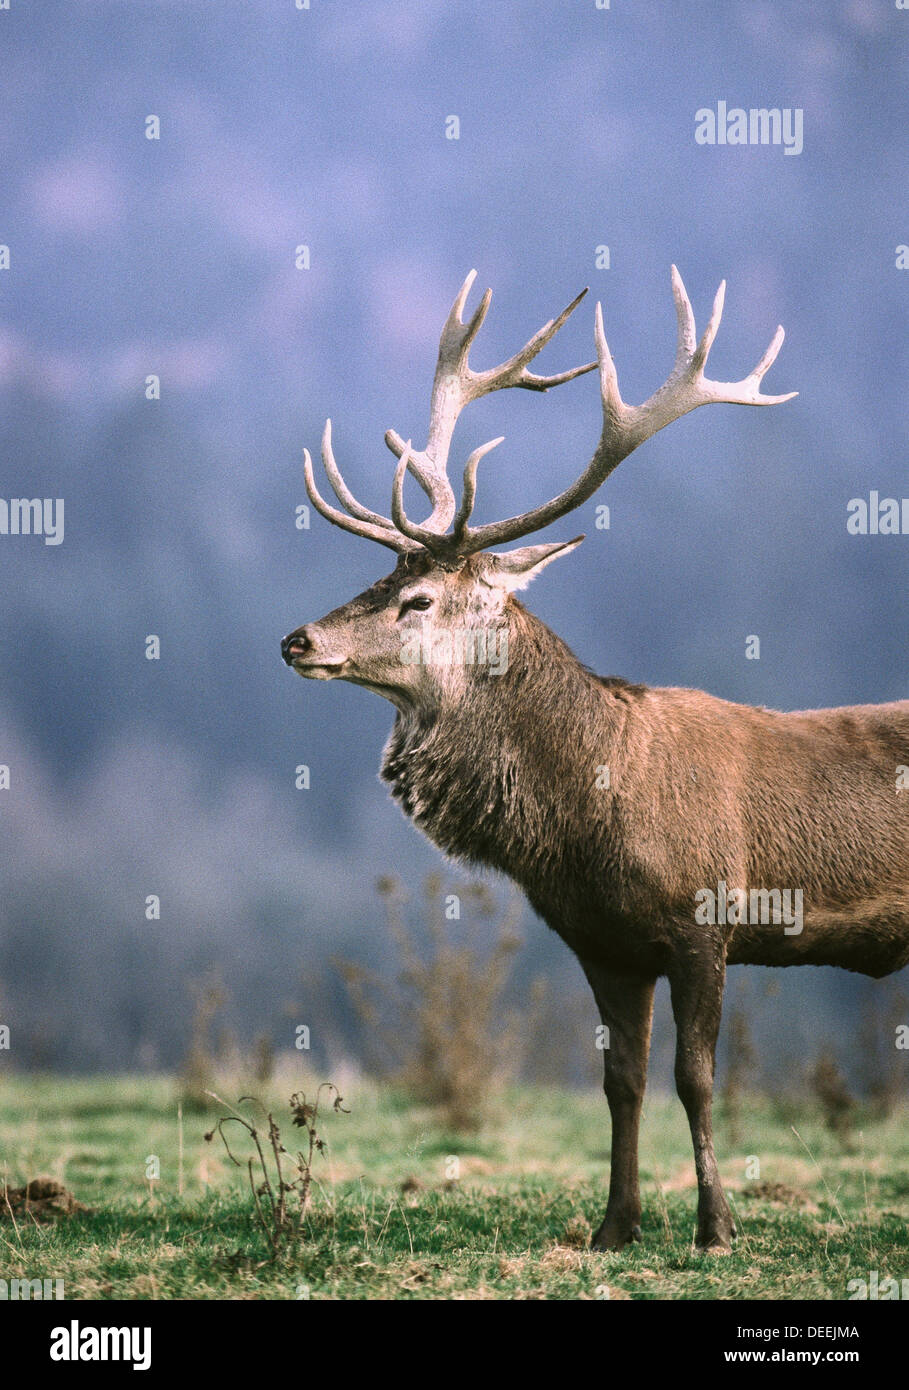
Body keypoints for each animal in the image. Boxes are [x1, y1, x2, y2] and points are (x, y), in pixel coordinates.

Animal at [281, 268, 909, 1253]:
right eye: (376, 581)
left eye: (418, 599)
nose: (297, 640)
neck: (588, 817)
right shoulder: (602, 943)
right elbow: (622, 1084)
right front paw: (615, 1226)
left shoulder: (704, 918)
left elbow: (696, 1078)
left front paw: (715, 1227)